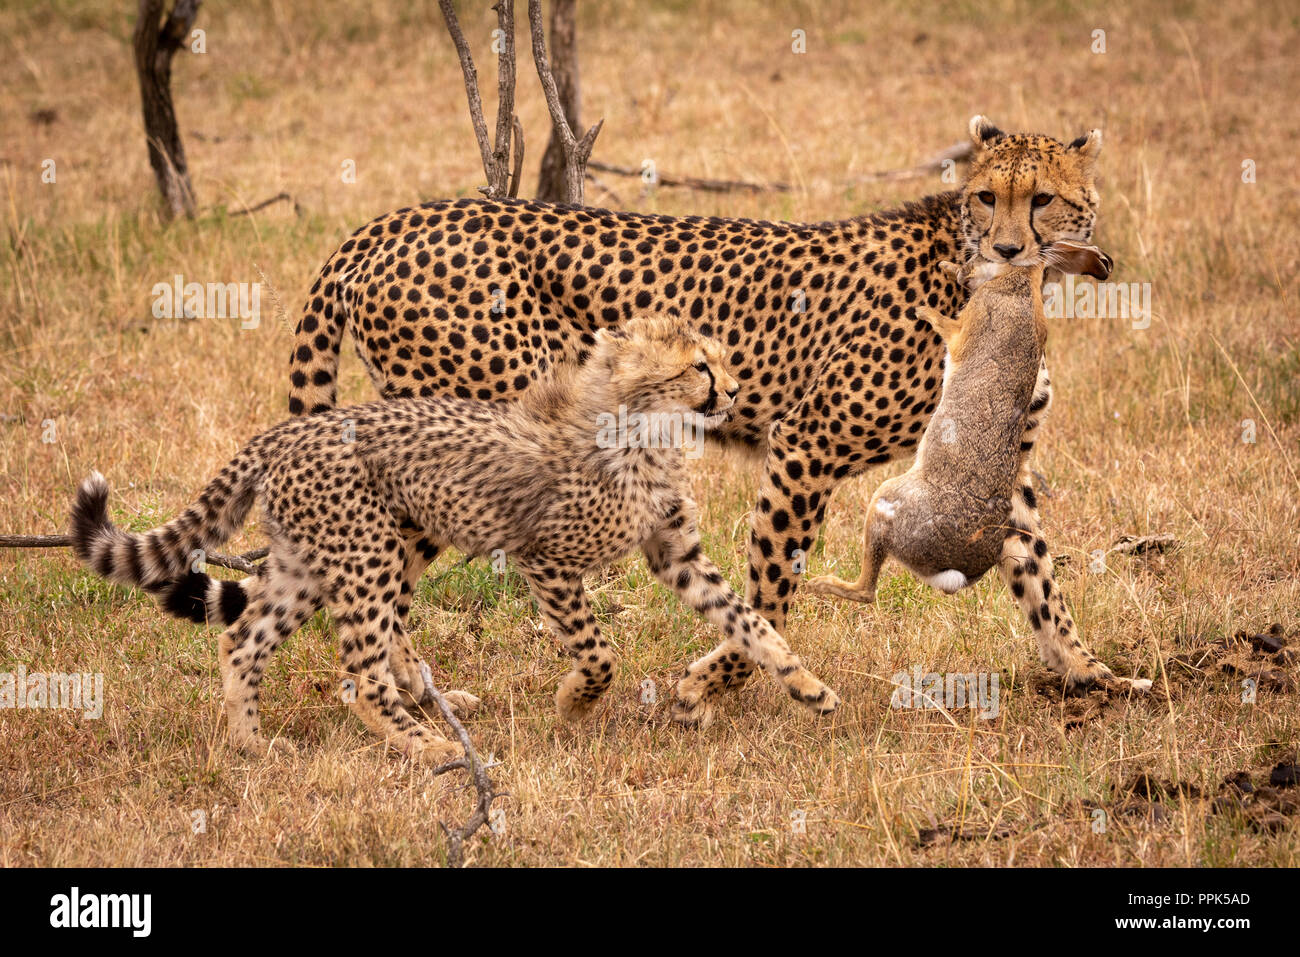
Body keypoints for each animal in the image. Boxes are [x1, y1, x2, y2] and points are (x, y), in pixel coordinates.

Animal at [69, 316, 839, 762]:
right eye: (698, 367)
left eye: (720, 360)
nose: (735, 391)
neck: (640, 427)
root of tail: (290, 429)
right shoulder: (545, 558)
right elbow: (598, 652)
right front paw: (573, 704)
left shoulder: (674, 550)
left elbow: (751, 621)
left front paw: (808, 686)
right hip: (368, 554)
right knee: (362, 669)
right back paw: (429, 746)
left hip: (307, 566)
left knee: (242, 638)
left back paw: (254, 744)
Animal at [278, 113, 1118, 706]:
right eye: (987, 196)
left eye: (1044, 199)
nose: (1007, 248)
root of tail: (391, 221)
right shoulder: (806, 445)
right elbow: (774, 585)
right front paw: (718, 680)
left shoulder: (987, 462)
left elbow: (1038, 571)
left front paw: (1092, 673)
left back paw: (415, 691)